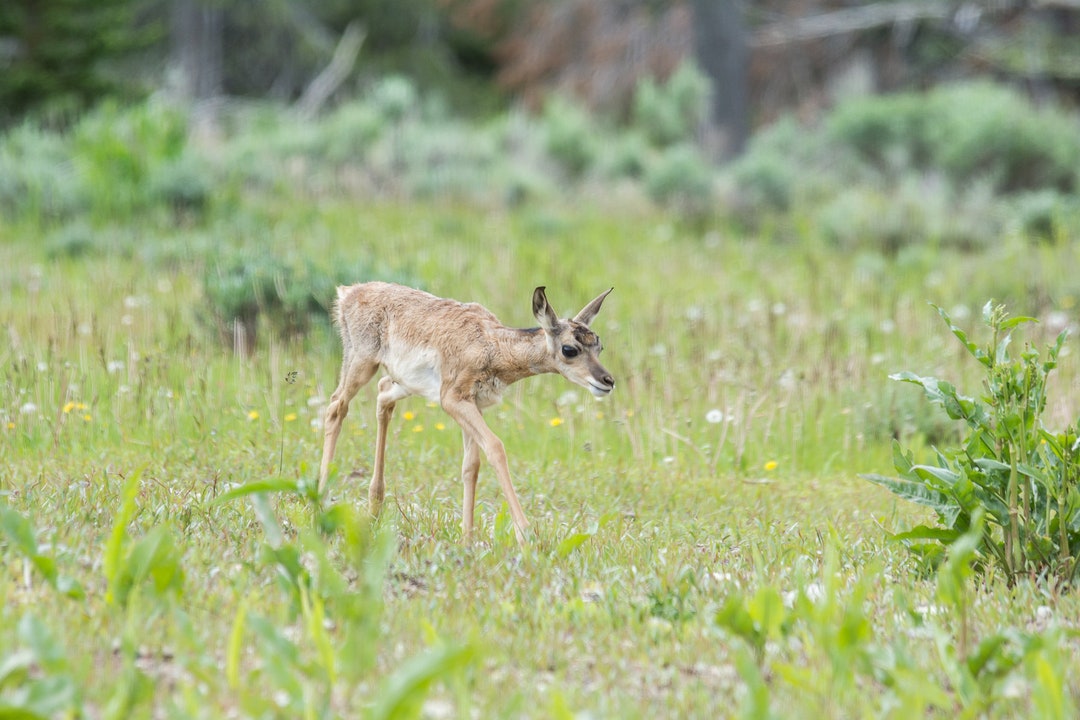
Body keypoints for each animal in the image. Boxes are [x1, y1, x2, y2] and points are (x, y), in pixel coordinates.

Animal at [318, 282, 615, 544]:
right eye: (570, 349)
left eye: (599, 345)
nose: (608, 381)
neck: (491, 344)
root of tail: (350, 292)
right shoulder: (453, 401)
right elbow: (495, 448)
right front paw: (526, 535)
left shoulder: (474, 406)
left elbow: (471, 465)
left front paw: (468, 538)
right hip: (362, 364)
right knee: (335, 407)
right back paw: (320, 498)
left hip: (402, 384)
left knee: (382, 396)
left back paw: (375, 505)